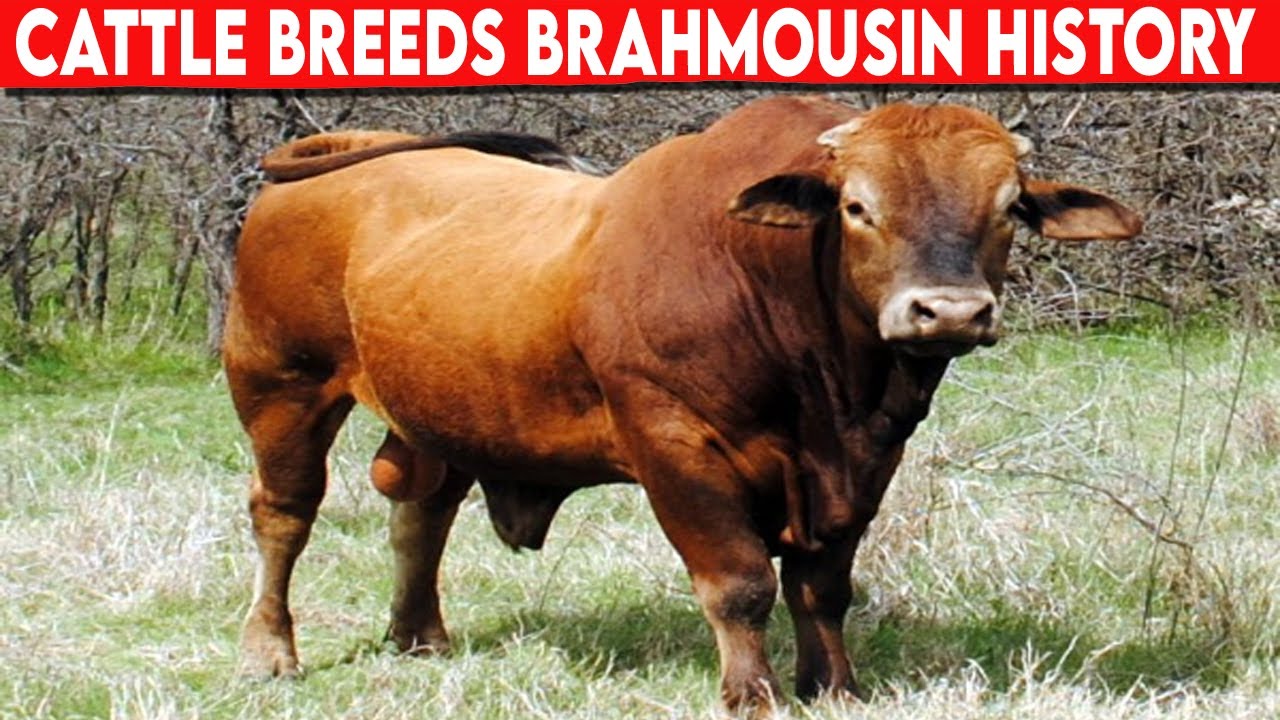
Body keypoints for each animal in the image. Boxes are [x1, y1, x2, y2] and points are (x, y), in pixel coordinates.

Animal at [223, 95, 1142, 713]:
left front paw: (834, 686)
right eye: (858, 208)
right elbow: (739, 583)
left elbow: (823, 586)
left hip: (439, 412)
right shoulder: (675, 445)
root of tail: (360, 145)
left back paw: (420, 637)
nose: (948, 312)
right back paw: (269, 650)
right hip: (280, 385)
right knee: (284, 513)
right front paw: (752, 693)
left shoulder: (865, 467)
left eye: (1008, 209)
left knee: (422, 510)